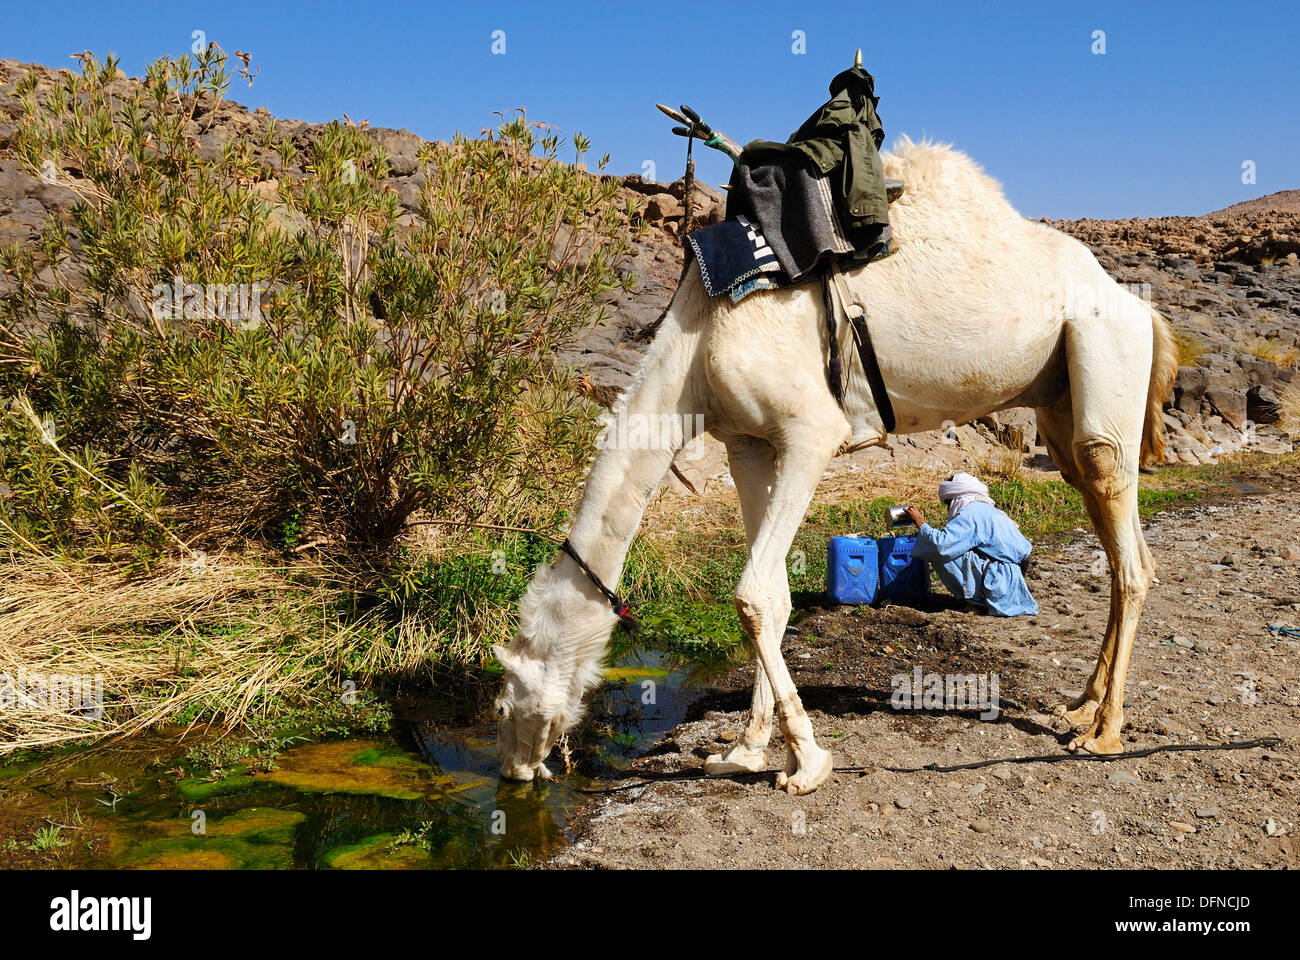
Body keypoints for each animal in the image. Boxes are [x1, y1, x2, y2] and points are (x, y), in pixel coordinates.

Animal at [494, 135, 1179, 795]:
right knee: (1116, 537)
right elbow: (773, 594)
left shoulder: (810, 433)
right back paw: (1080, 705)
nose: (514, 769)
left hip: (1104, 353)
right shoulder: (748, 442)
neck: (697, 339)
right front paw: (744, 751)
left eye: (505, 704)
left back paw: (1104, 732)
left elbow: (752, 596)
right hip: (1059, 401)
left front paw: (807, 763)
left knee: (1127, 543)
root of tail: (1138, 306)